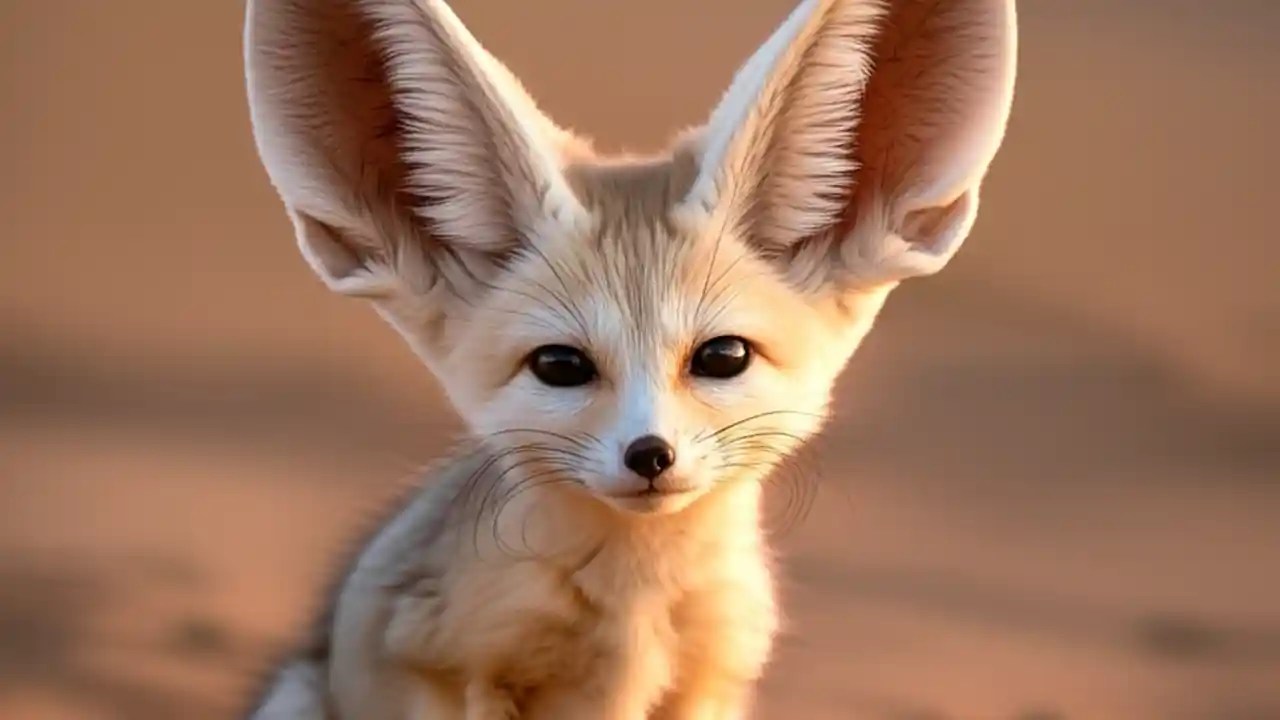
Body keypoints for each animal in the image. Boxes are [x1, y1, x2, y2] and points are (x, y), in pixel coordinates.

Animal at [242, 0, 1017, 717]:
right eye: (560, 366)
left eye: (722, 357)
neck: (637, 601)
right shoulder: (434, 660)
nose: (650, 454)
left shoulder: (709, 680)